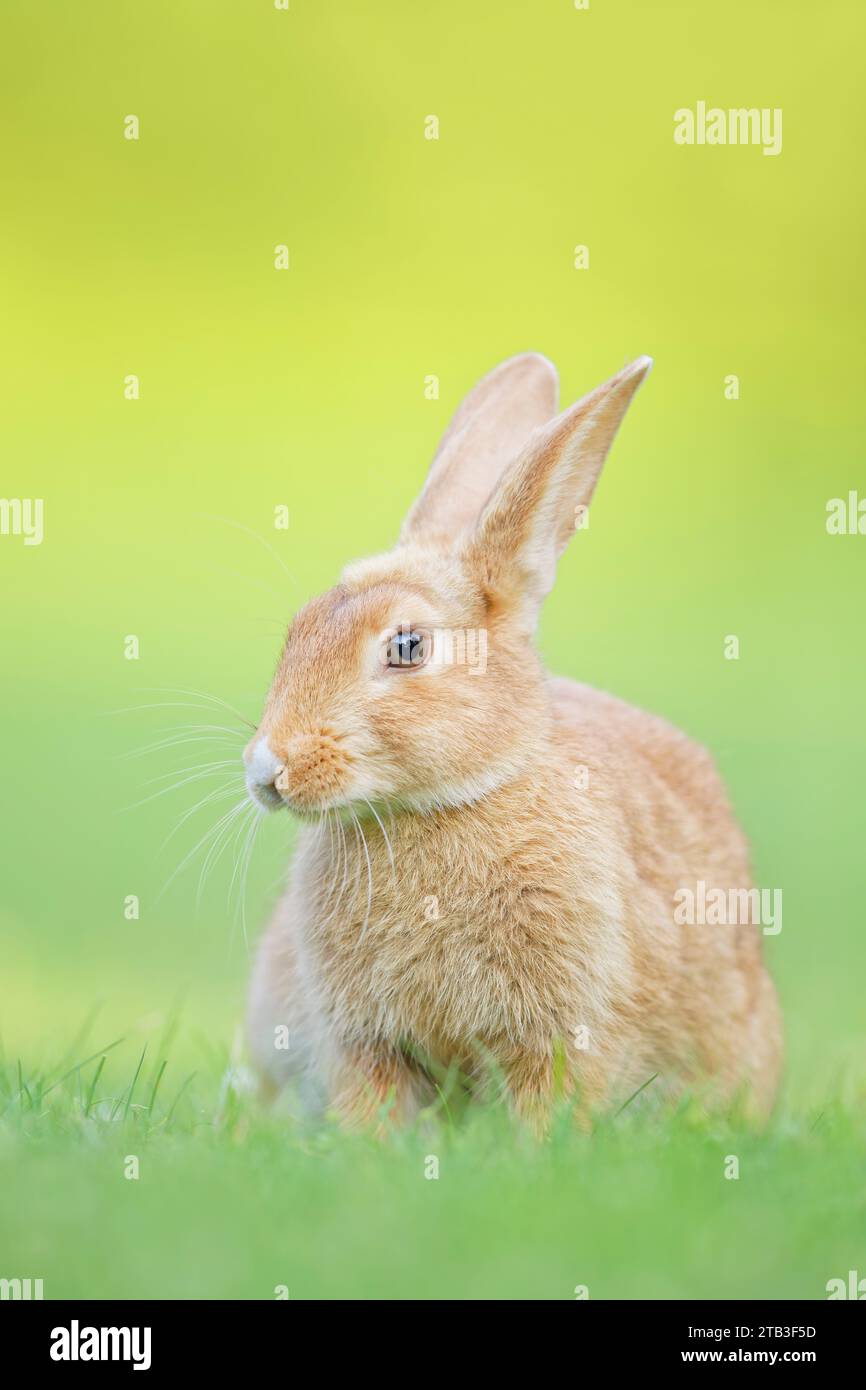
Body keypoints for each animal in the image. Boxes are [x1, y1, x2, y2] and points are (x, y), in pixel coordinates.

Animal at [244, 353, 782, 1130]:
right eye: (300, 627)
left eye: (407, 647)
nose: (266, 768)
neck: (449, 801)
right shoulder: (363, 1044)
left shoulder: (562, 1033)